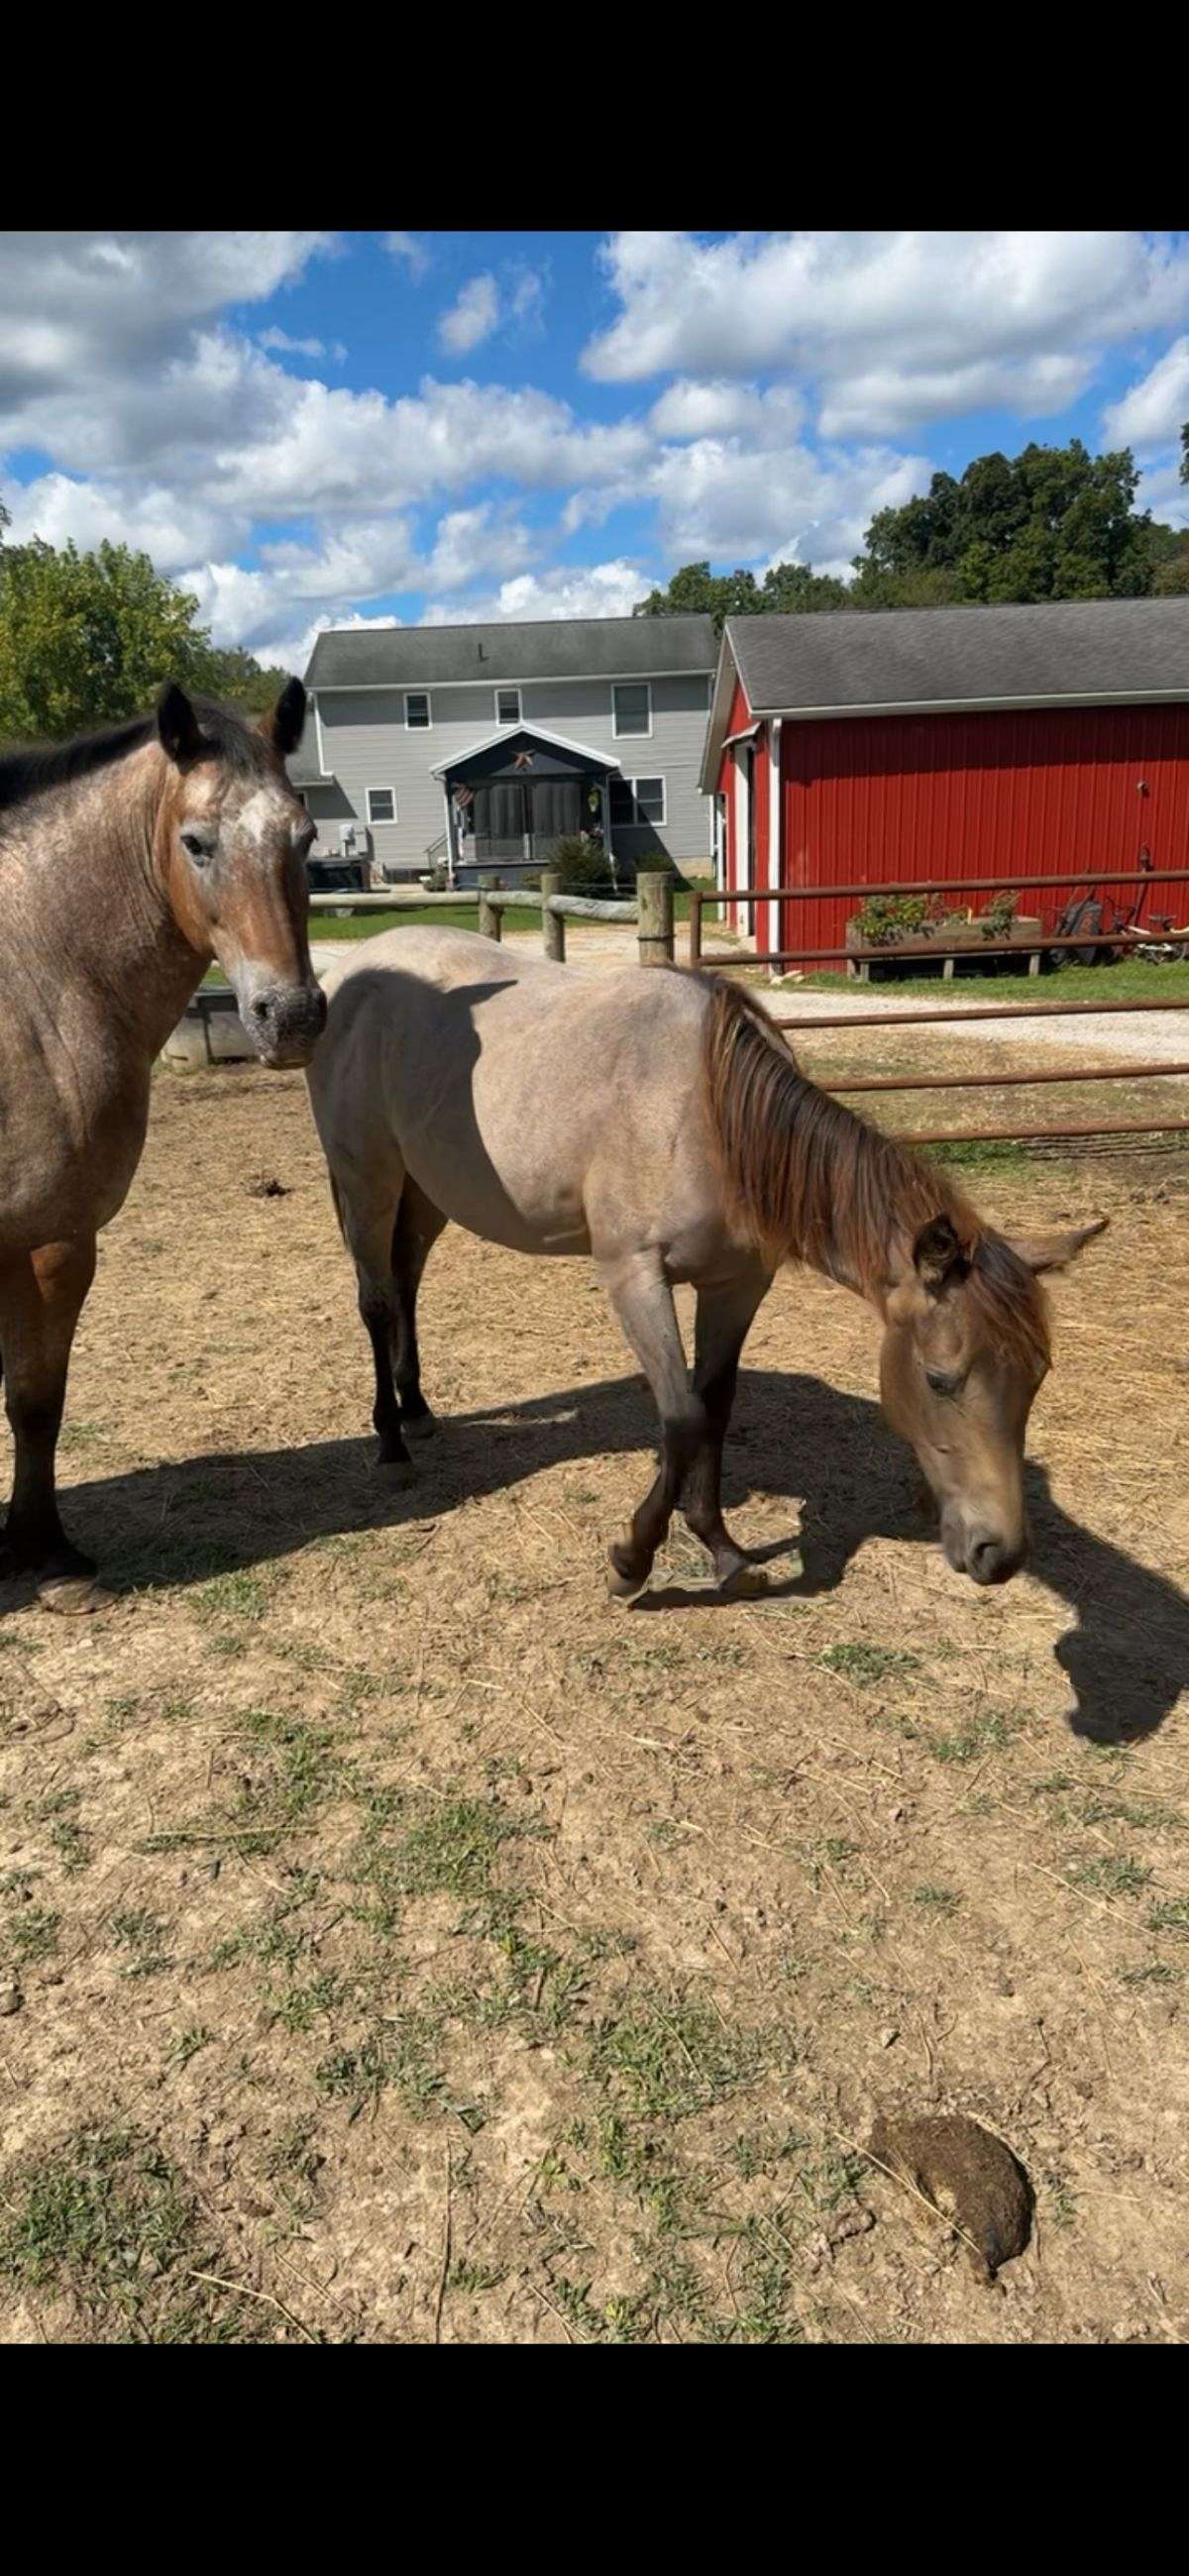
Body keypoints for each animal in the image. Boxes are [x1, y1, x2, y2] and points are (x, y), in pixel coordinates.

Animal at [0, 677, 325, 1607]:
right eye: (196, 843)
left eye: (305, 838)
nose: (290, 1017)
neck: (38, 972)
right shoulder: (52, 1240)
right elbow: (36, 1398)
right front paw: (47, 1557)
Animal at [305, 925, 1105, 1599]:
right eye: (941, 1379)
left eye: (1037, 1378)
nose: (999, 1555)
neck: (707, 1120)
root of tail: (353, 969)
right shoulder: (633, 1275)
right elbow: (681, 1415)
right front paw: (633, 1558)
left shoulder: (737, 1284)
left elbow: (714, 1409)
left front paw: (720, 1546)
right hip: (367, 1178)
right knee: (377, 1300)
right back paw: (392, 1446)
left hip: (426, 1189)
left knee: (406, 1281)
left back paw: (417, 1411)